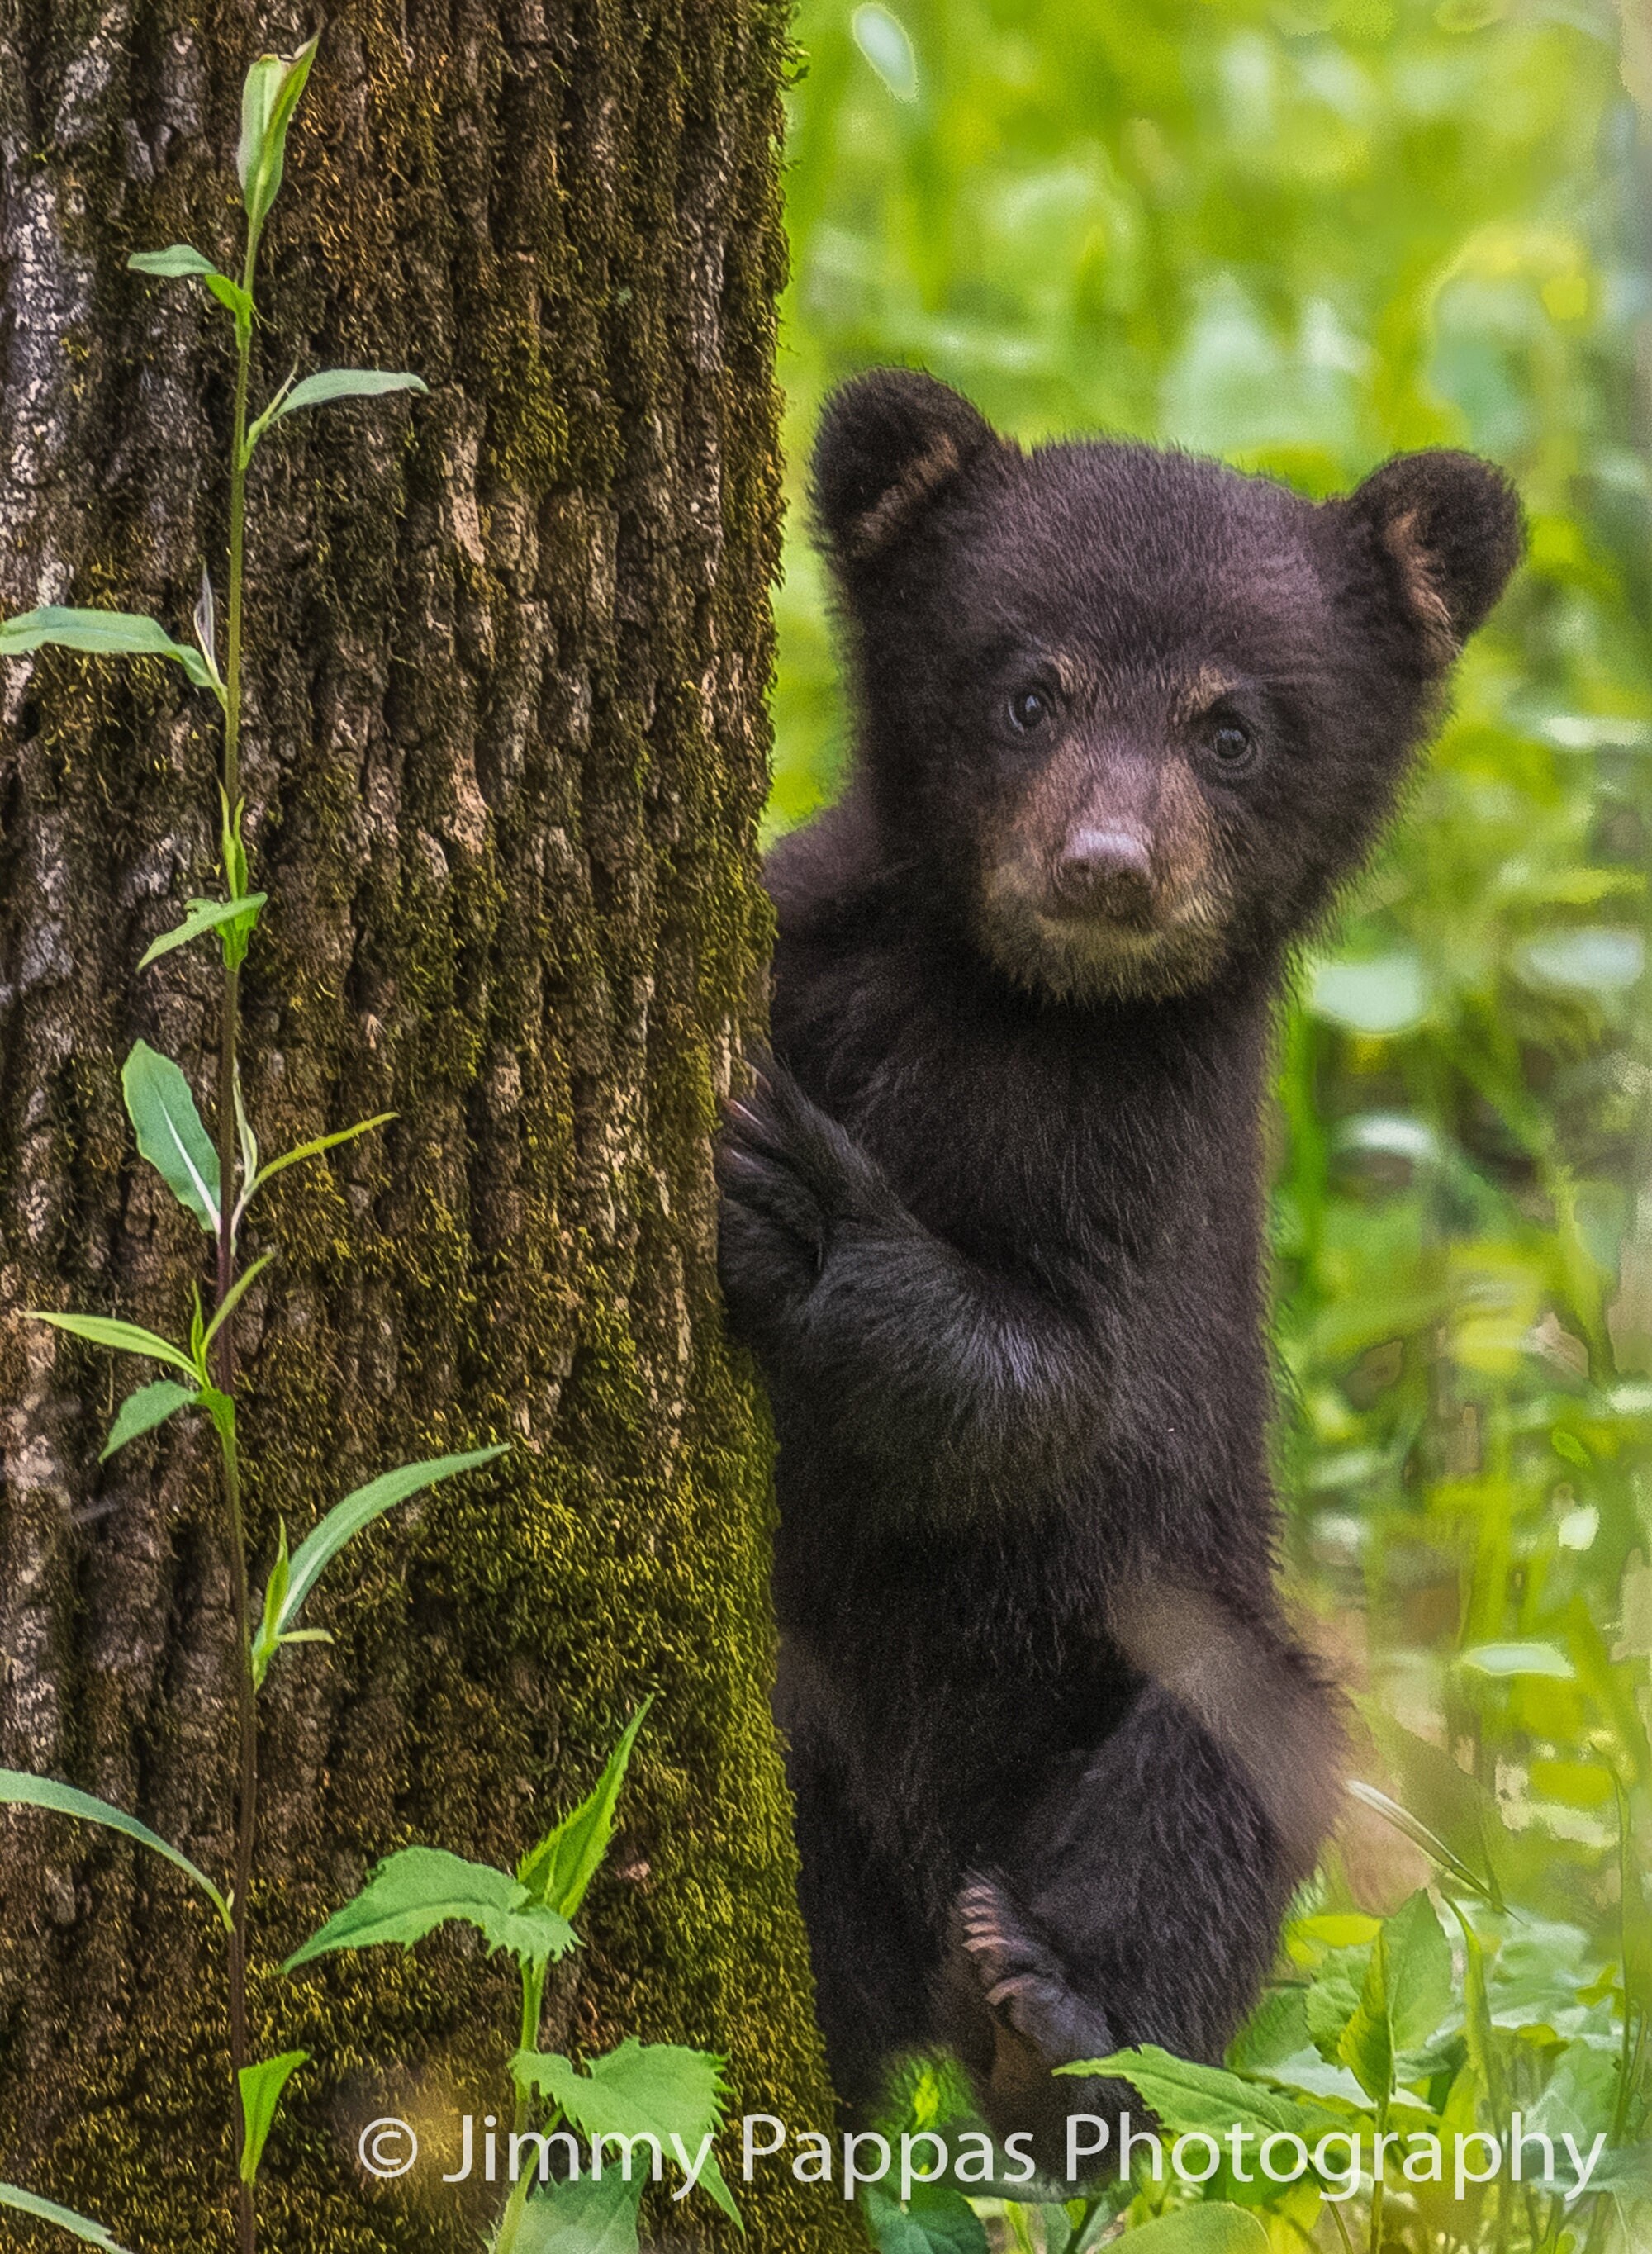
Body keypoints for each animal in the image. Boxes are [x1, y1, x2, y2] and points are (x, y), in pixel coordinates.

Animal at [716, 368, 1523, 2170]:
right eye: (1029, 689)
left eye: (1231, 726)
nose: (1104, 868)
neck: (1010, 1006)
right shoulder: (815, 946)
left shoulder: (1151, 1145)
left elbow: (1055, 1386)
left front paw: (796, 1203)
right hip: (802, 1723)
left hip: (1165, 1645)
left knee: (1233, 1756)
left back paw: (1050, 2024)